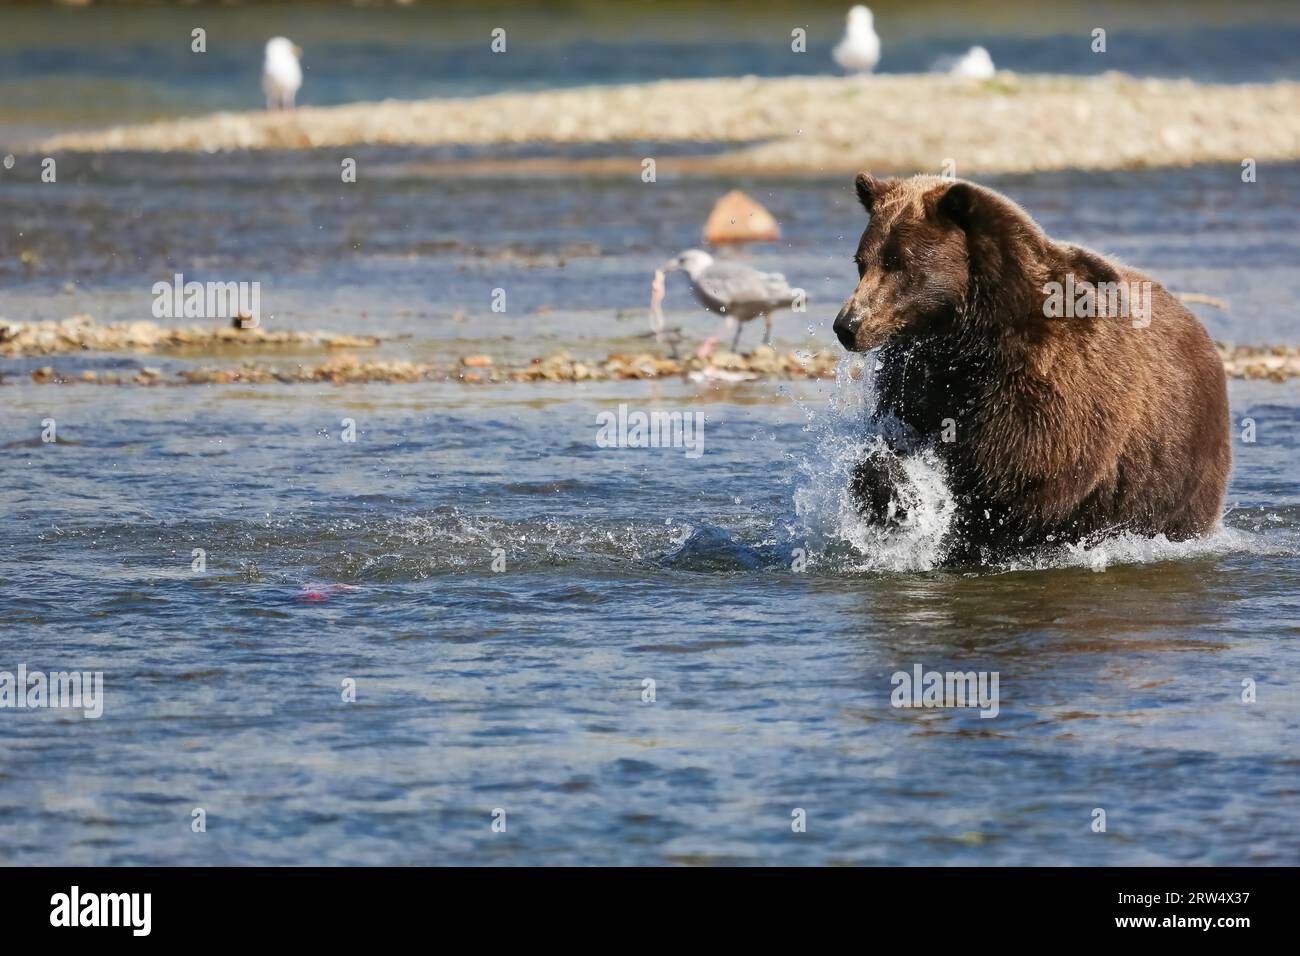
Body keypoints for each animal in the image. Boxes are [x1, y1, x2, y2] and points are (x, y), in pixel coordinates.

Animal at [832, 173, 1231, 561]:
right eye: (861, 262)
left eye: (897, 263)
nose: (847, 325)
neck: (969, 337)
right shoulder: (920, 376)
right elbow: (899, 434)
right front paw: (888, 487)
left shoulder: (1049, 375)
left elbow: (1023, 470)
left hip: (1178, 466)